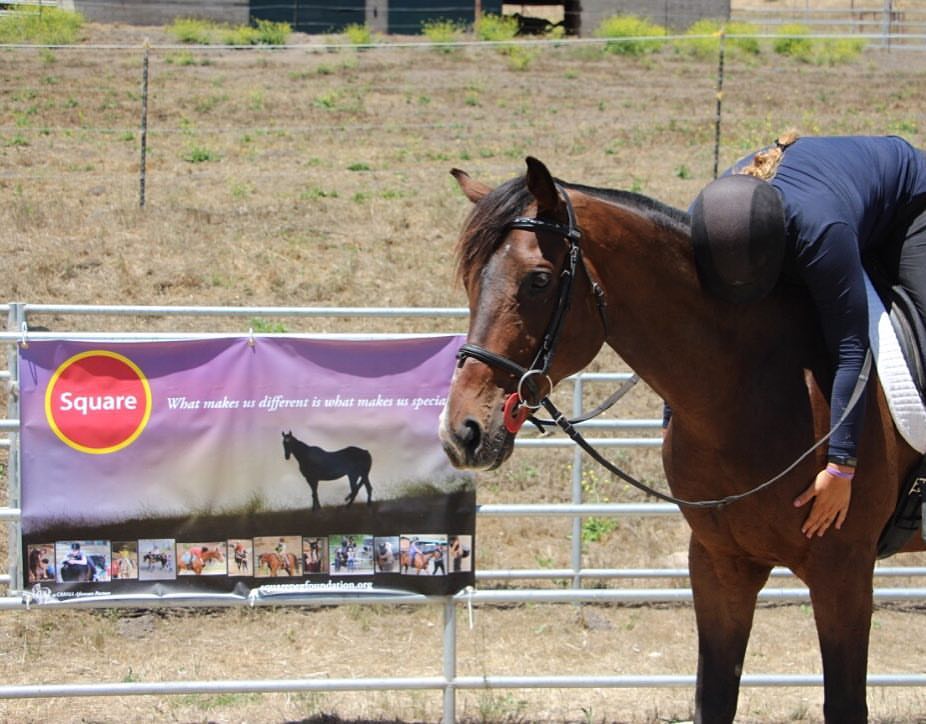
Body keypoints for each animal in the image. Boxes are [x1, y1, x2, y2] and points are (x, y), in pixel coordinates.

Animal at [437, 157, 926, 724]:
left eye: (538, 280)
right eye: (471, 280)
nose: (462, 430)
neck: (755, 383)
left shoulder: (842, 575)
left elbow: (845, 704)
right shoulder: (720, 568)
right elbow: (713, 698)